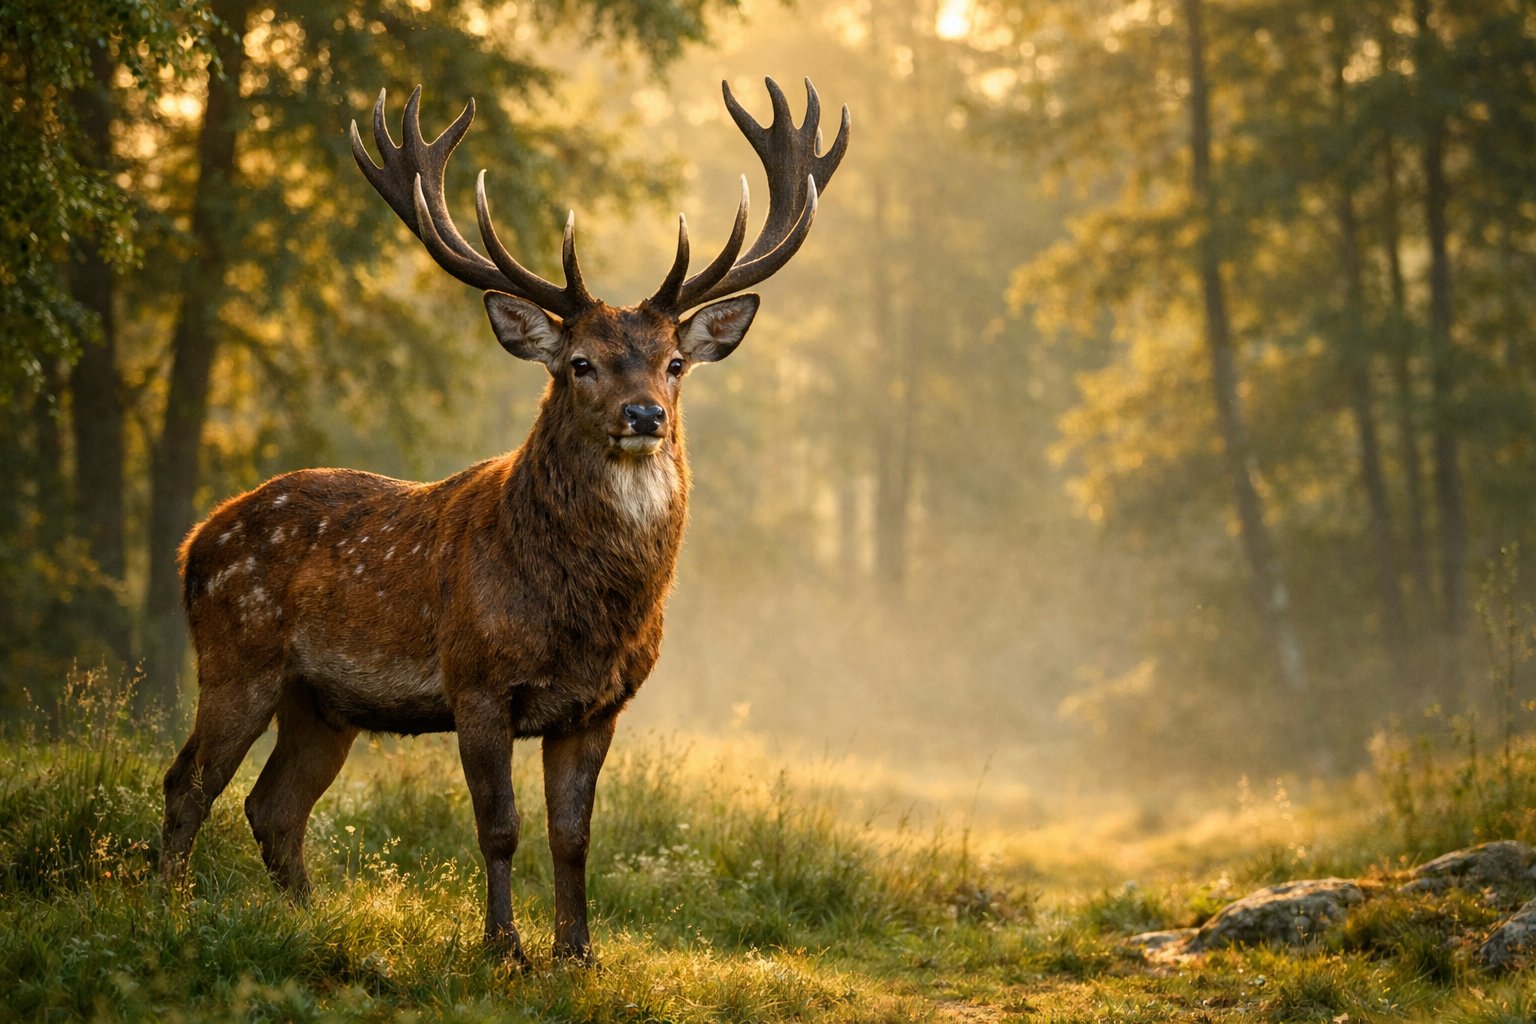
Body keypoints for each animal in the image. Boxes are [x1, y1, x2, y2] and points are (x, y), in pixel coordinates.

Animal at [158, 77, 848, 965]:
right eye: (580, 363)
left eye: (675, 362)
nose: (645, 415)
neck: (586, 616)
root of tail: (192, 543)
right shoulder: (477, 683)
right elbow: (500, 827)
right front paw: (503, 948)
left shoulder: (600, 705)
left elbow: (573, 836)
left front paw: (578, 952)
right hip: (236, 655)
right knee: (190, 782)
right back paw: (168, 907)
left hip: (322, 703)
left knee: (274, 806)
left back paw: (304, 920)